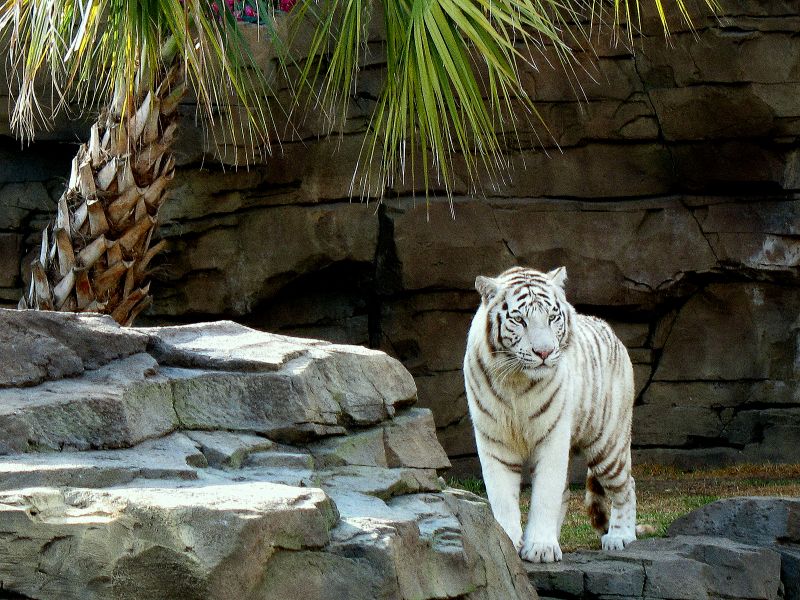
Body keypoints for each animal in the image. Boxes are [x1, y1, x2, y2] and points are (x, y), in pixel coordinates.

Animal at [463, 265, 636, 563]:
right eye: (519, 320)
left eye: (552, 317)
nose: (544, 352)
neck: (516, 381)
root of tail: (611, 331)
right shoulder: (494, 440)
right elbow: (502, 497)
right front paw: (508, 542)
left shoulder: (553, 436)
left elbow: (545, 494)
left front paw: (541, 548)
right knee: (567, 494)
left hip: (607, 445)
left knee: (626, 486)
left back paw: (620, 537)